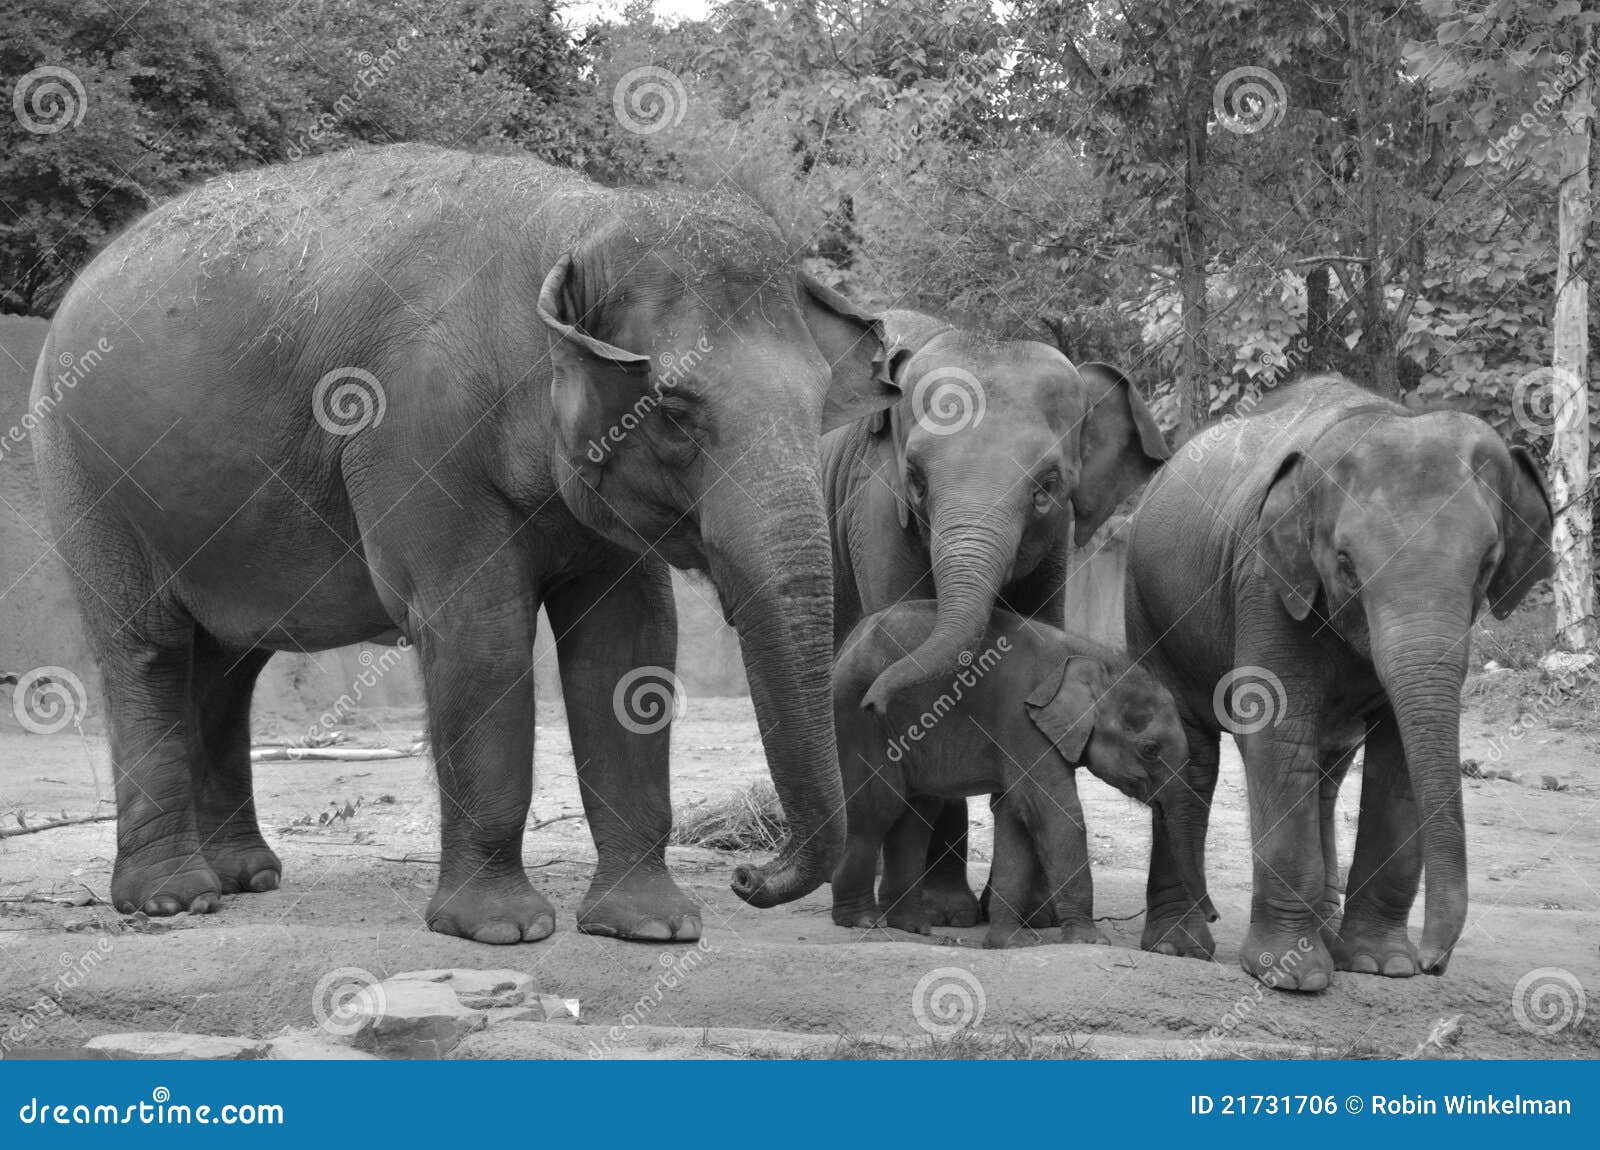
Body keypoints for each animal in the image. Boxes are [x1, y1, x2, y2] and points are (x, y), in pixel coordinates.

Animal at [31, 144, 901, 944]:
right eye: (677, 411)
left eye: (819, 404)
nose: (750, 877)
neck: (577, 222)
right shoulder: (411, 431)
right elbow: (478, 631)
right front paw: (502, 930)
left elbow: (630, 644)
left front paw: (650, 928)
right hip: (86, 477)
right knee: (147, 648)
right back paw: (174, 899)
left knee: (226, 664)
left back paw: (246, 878)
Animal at [820, 310, 1171, 925]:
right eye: (916, 479)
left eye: (1047, 488)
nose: (874, 701)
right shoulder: (877, 511)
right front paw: (949, 914)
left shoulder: (1056, 544)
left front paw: (1033, 917)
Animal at [830, 602, 1194, 949]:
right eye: (1151, 749)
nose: (874, 703)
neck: (1092, 659)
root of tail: (850, 640)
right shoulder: (1023, 722)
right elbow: (1055, 813)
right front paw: (1090, 941)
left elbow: (1015, 816)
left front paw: (1008, 943)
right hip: (858, 719)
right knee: (878, 807)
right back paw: (861, 920)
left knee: (916, 812)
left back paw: (911, 926)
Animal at [1124, 375, 1553, 990]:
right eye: (1347, 562)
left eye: (1488, 562)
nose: (1435, 962)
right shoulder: (1264, 580)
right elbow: (1276, 734)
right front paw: (1292, 977)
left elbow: (1396, 759)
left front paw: (1381, 965)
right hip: (1150, 613)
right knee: (1193, 755)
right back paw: (1178, 947)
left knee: (1327, 772)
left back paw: (1324, 931)